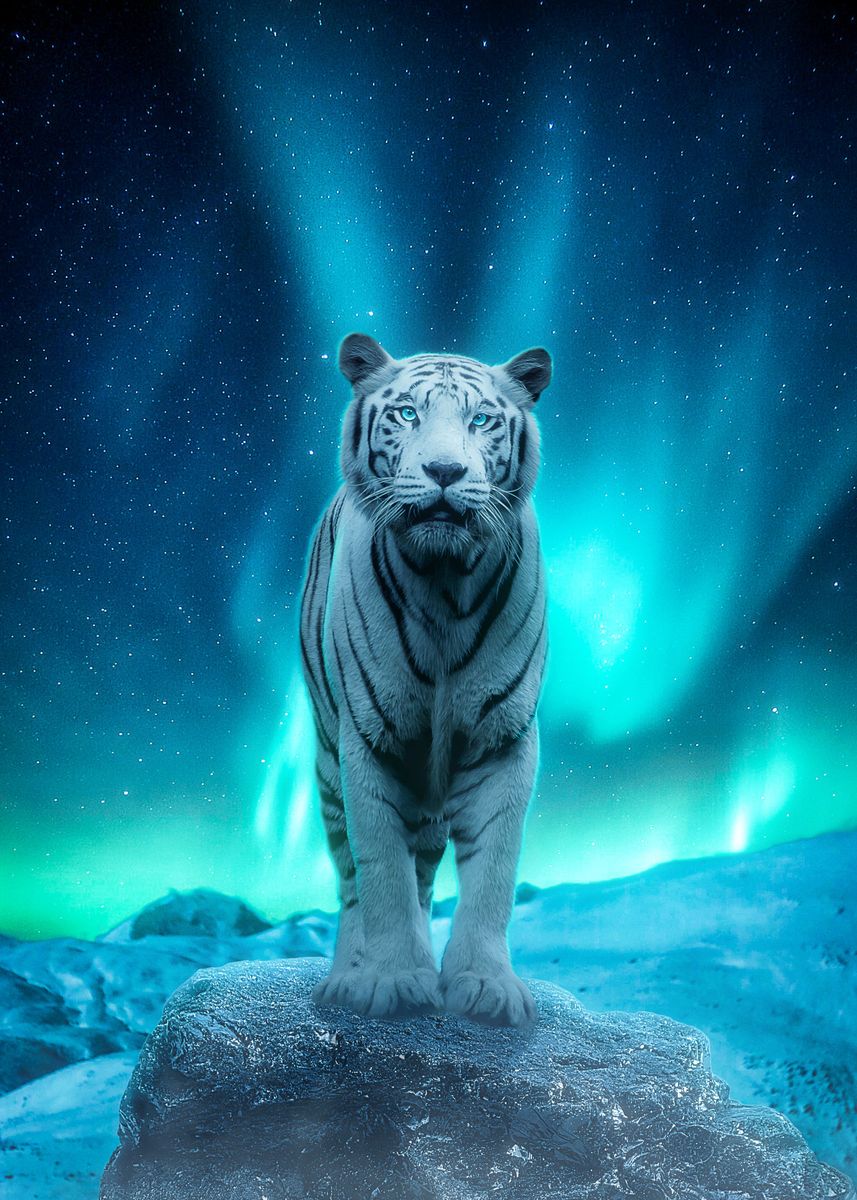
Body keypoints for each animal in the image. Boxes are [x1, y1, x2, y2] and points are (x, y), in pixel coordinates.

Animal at [299, 333, 551, 1027]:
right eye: (407, 413)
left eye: (482, 420)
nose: (444, 473)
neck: (444, 583)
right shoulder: (369, 741)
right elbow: (382, 870)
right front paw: (392, 979)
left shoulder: (503, 740)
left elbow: (493, 872)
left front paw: (487, 986)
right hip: (327, 761)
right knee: (352, 878)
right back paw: (347, 977)